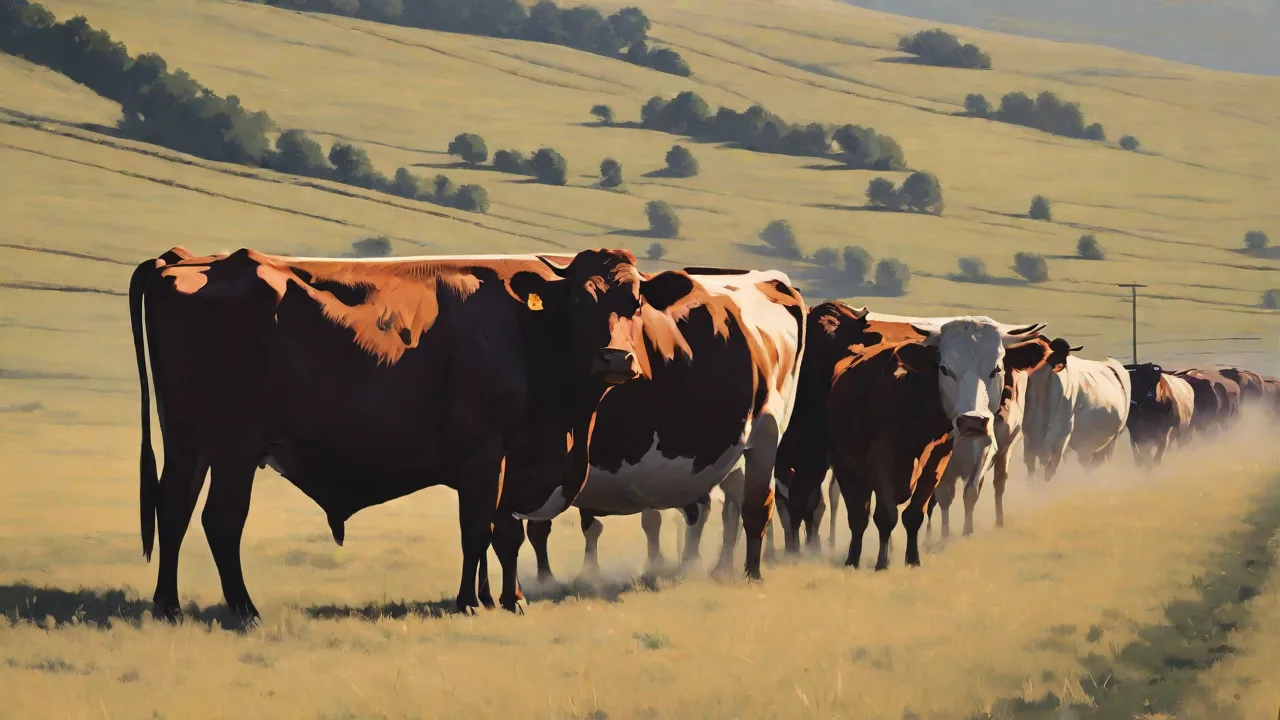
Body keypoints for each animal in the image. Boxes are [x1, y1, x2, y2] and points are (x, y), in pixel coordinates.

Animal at [129, 246, 682, 621]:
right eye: (579, 303)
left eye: (636, 304)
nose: (616, 359)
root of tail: (186, 262)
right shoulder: (484, 454)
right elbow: (477, 530)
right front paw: (469, 602)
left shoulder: (511, 458)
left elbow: (504, 534)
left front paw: (508, 598)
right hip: (235, 446)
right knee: (220, 519)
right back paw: (244, 609)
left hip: (188, 442)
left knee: (173, 509)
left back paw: (168, 605)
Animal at [525, 267, 807, 582]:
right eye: (575, 303)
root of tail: (766, 277)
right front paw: (558, 577)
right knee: (727, 504)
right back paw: (717, 567)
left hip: (766, 434)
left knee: (755, 507)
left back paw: (749, 574)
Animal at [775, 303, 1049, 568]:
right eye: (945, 369)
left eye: (997, 369)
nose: (972, 421)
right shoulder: (876, 462)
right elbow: (883, 515)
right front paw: (882, 563)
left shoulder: (937, 461)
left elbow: (915, 513)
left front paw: (912, 559)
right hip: (843, 466)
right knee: (851, 514)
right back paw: (846, 557)